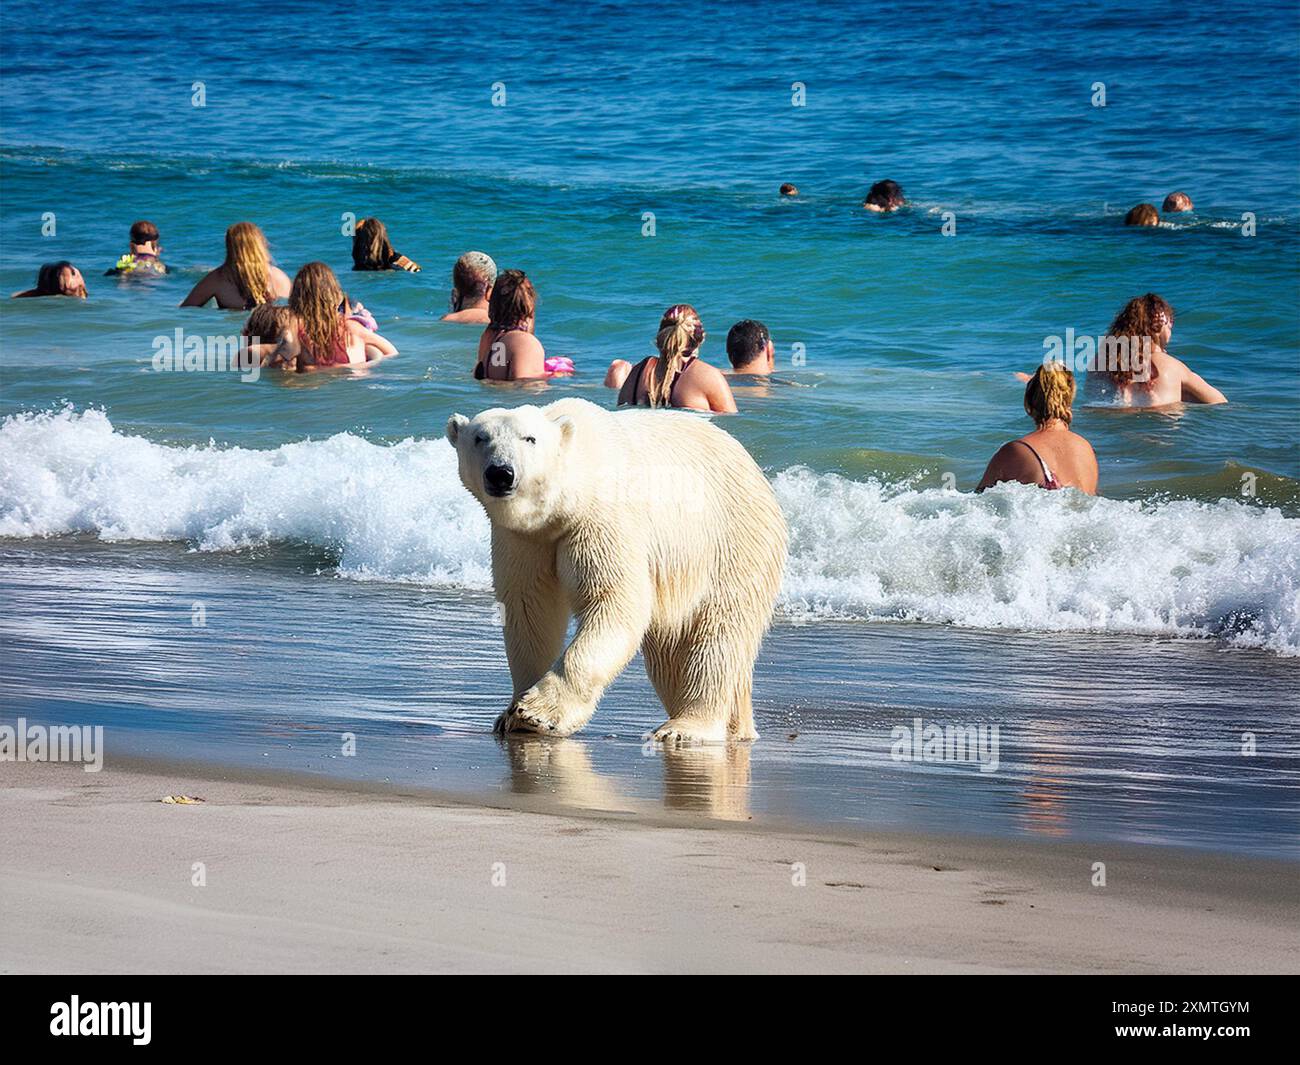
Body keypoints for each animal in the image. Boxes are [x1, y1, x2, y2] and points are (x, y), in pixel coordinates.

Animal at [446, 397, 787, 744]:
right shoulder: (523, 538)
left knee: (715, 636)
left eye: (529, 439)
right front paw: (511, 712)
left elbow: (614, 601)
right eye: (480, 438)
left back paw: (685, 726)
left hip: (729, 542)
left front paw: (537, 713)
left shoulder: (600, 518)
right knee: (670, 654)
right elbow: (530, 609)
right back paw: (732, 726)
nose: (501, 473)